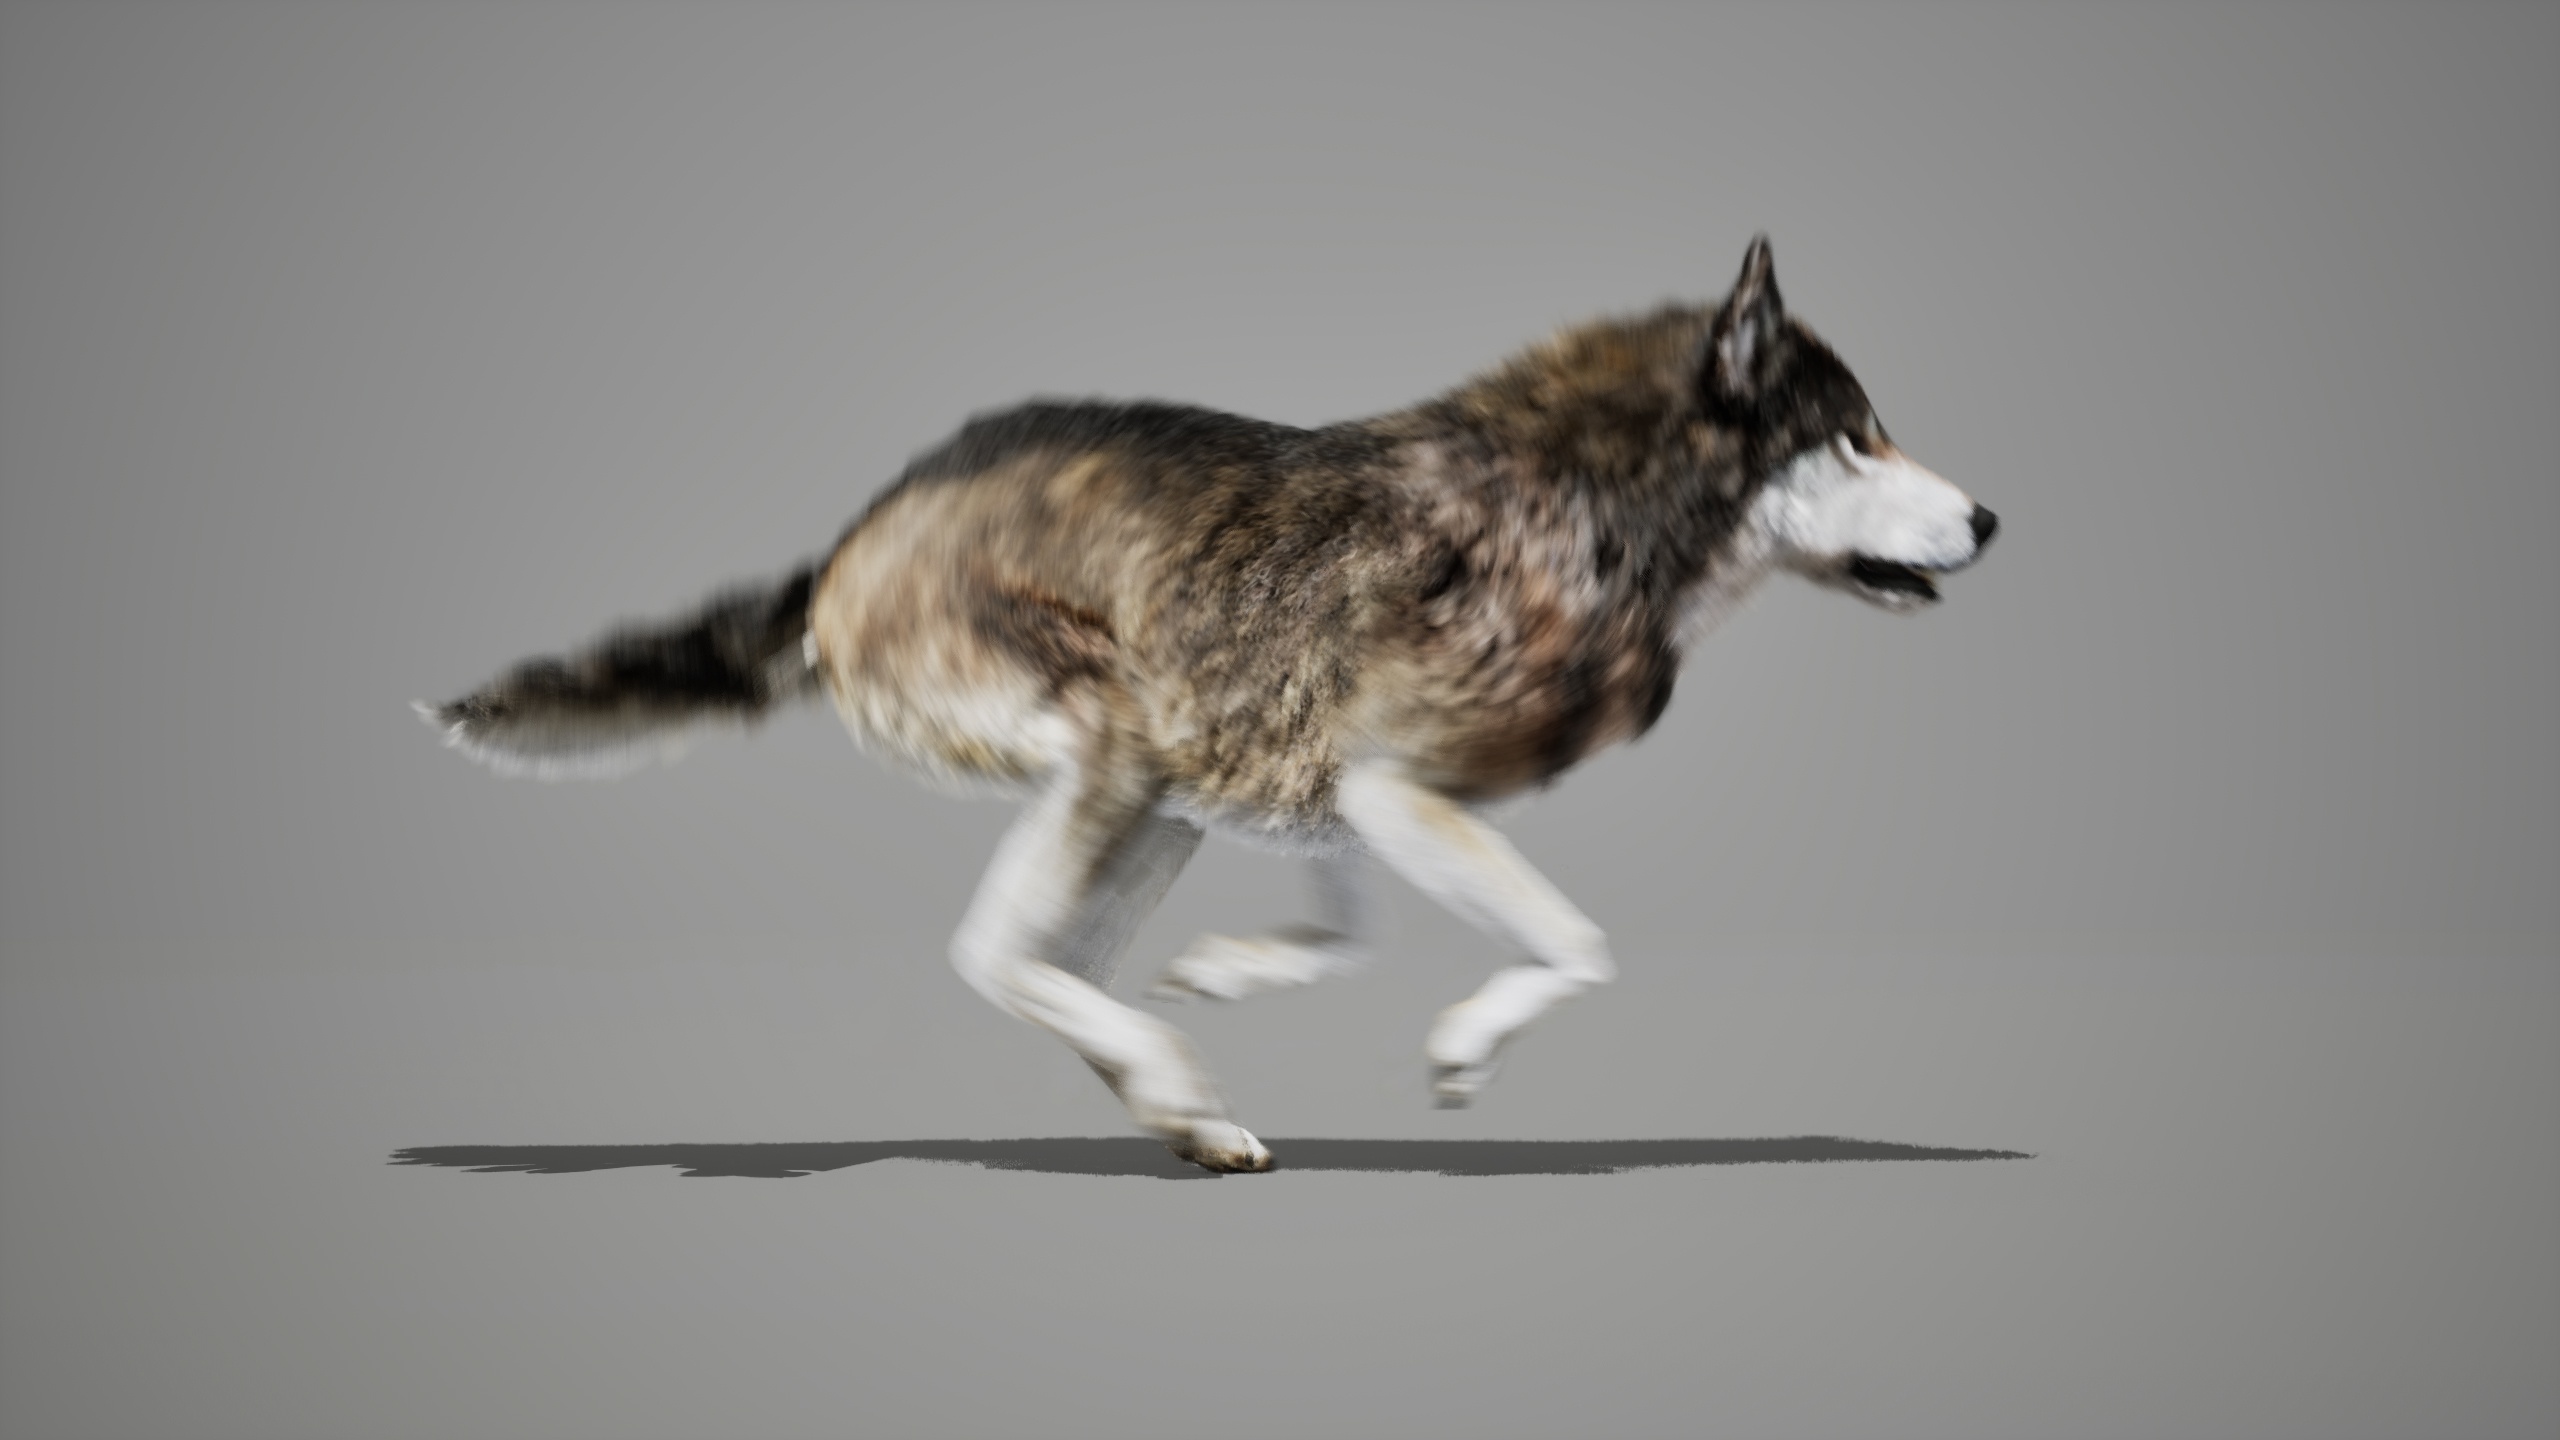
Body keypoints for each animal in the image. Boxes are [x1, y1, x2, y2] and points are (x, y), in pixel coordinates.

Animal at [423, 238, 1997, 1173]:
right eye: (1857, 438)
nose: (1990, 518)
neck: (1584, 517)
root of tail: (855, 534)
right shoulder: (1391, 790)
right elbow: (1580, 946)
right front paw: (1462, 1049)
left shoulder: (1324, 791)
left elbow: (1354, 935)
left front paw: (1240, 972)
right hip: (1110, 740)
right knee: (988, 951)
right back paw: (1172, 1082)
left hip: (1160, 794)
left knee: (1059, 961)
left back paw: (1177, 1102)